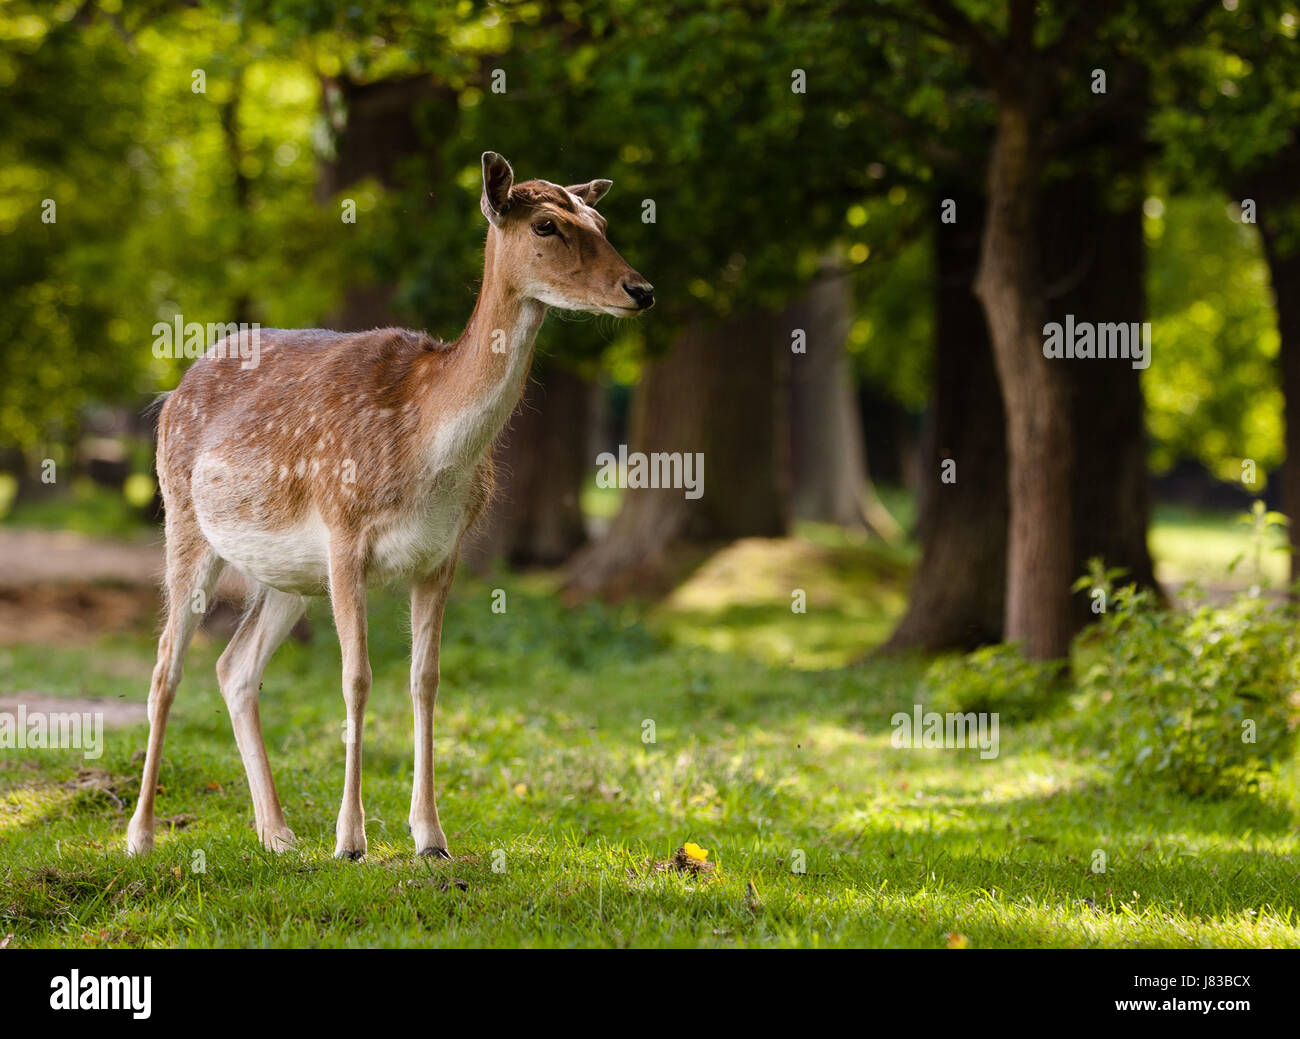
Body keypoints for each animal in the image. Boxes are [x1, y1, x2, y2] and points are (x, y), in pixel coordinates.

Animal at [126, 152, 653, 861]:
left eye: (601, 222)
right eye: (547, 224)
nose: (641, 289)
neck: (428, 447)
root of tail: (169, 395)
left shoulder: (443, 554)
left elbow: (424, 679)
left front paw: (431, 837)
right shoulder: (344, 533)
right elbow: (357, 677)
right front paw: (351, 840)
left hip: (289, 577)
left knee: (234, 666)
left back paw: (278, 834)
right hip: (185, 523)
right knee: (164, 668)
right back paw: (141, 835)